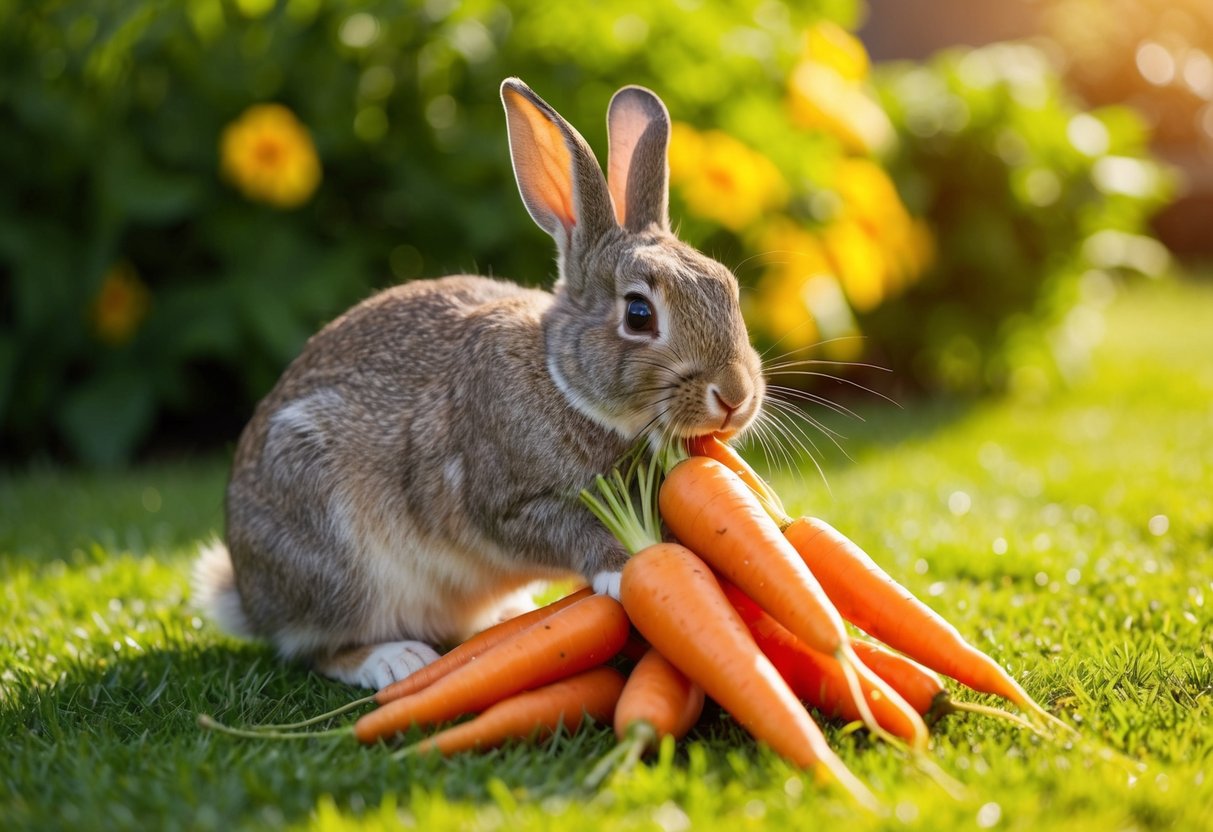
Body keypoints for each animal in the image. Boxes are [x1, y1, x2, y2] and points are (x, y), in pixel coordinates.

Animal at [193, 78, 766, 690]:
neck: (562, 381)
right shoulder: (503, 500)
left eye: (728, 288)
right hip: (333, 547)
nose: (734, 397)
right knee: (317, 645)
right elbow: (565, 531)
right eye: (638, 314)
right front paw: (623, 568)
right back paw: (395, 660)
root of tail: (248, 595)